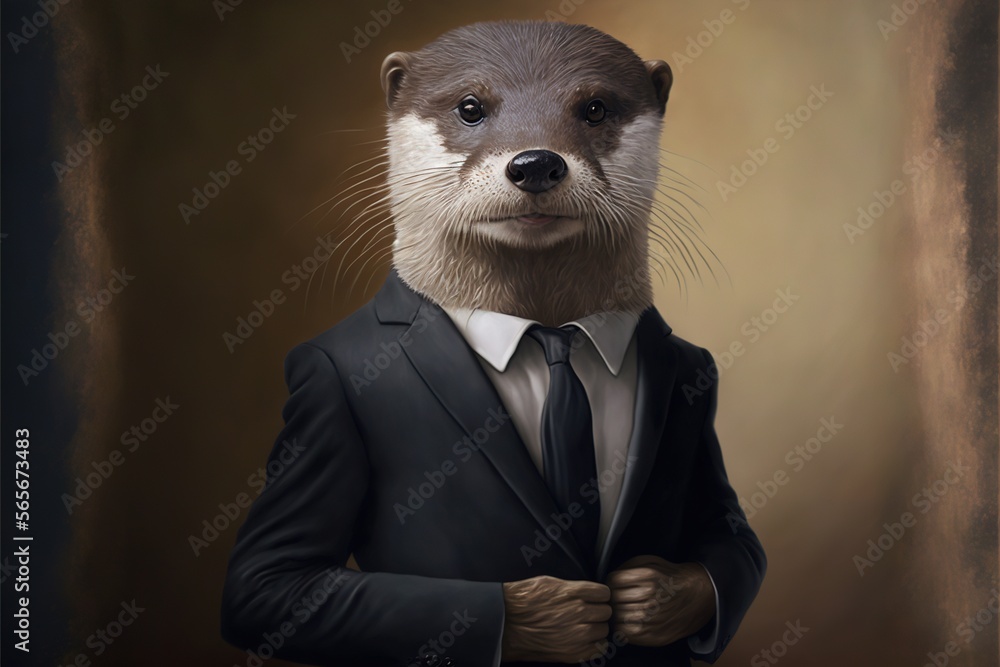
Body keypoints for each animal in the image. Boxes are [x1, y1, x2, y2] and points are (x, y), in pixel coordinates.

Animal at [222, 20, 764, 667]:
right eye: (470, 106)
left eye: (595, 107)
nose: (536, 162)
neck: (543, 327)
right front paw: (549, 614)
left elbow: (730, 537)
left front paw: (655, 597)